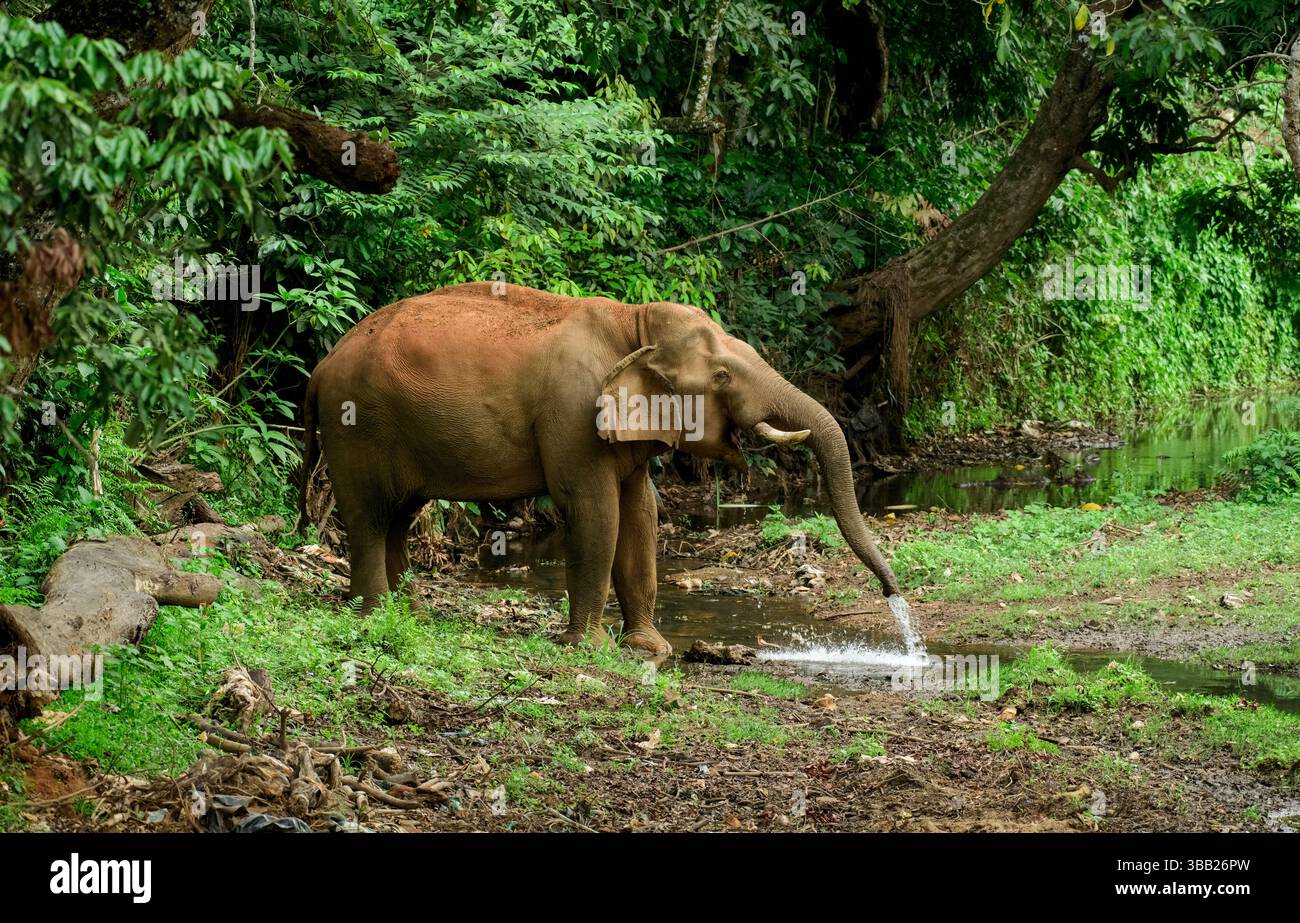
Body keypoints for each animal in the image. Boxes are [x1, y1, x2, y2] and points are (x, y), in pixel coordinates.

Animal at [300, 282, 901, 655]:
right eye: (723, 376)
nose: (893, 597)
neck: (632, 323)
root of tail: (322, 367)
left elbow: (640, 514)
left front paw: (648, 649)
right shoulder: (573, 415)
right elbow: (595, 511)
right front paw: (588, 648)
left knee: (400, 515)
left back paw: (407, 614)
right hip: (357, 426)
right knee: (368, 515)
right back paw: (375, 614)